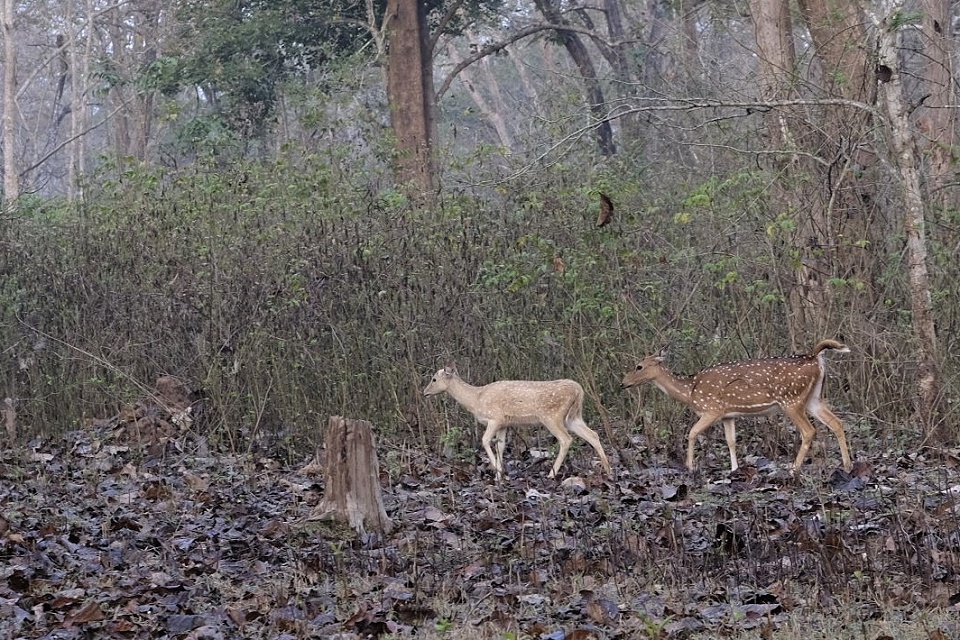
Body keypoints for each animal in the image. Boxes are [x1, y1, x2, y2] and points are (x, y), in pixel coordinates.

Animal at [423, 364, 613, 481]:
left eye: (434, 379)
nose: (425, 392)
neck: (476, 399)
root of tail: (579, 390)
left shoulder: (495, 418)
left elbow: (485, 441)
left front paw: (500, 472)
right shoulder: (504, 424)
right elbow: (500, 446)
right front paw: (499, 476)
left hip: (552, 416)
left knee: (566, 439)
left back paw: (551, 474)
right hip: (573, 417)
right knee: (593, 434)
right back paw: (608, 471)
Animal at [620, 339, 853, 474]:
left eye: (639, 366)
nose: (623, 383)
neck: (690, 390)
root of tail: (816, 359)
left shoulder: (712, 409)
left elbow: (692, 433)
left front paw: (689, 466)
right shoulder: (727, 415)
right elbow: (731, 441)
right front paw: (734, 469)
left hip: (791, 400)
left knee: (809, 431)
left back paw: (793, 468)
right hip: (813, 398)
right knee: (837, 423)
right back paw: (847, 465)